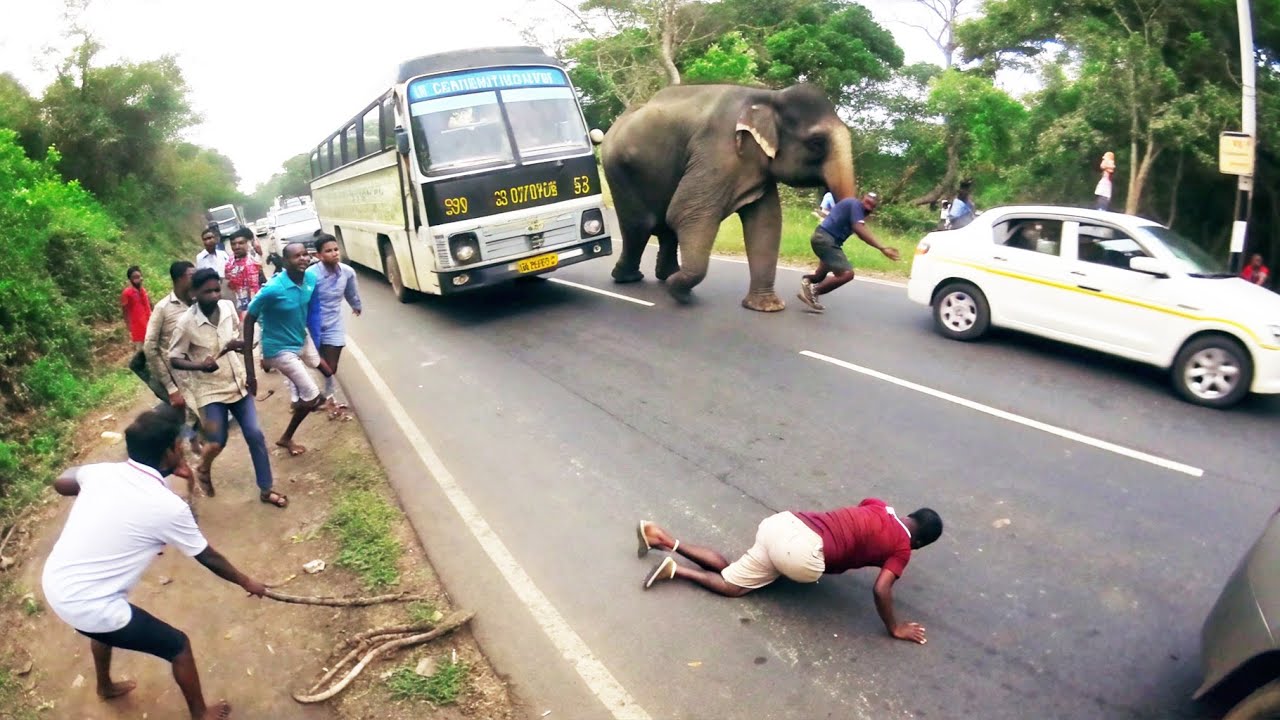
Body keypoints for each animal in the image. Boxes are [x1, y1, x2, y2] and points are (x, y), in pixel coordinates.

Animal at [600, 82, 856, 312]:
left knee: (663, 226)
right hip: (617, 169)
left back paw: (666, 275)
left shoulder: (756, 164)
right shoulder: (717, 150)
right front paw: (682, 293)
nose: (809, 287)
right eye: (816, 143)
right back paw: (629, 278)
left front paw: (767, 307)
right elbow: (686, 212)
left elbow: (766, 223)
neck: (769, 96)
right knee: (639, 225)